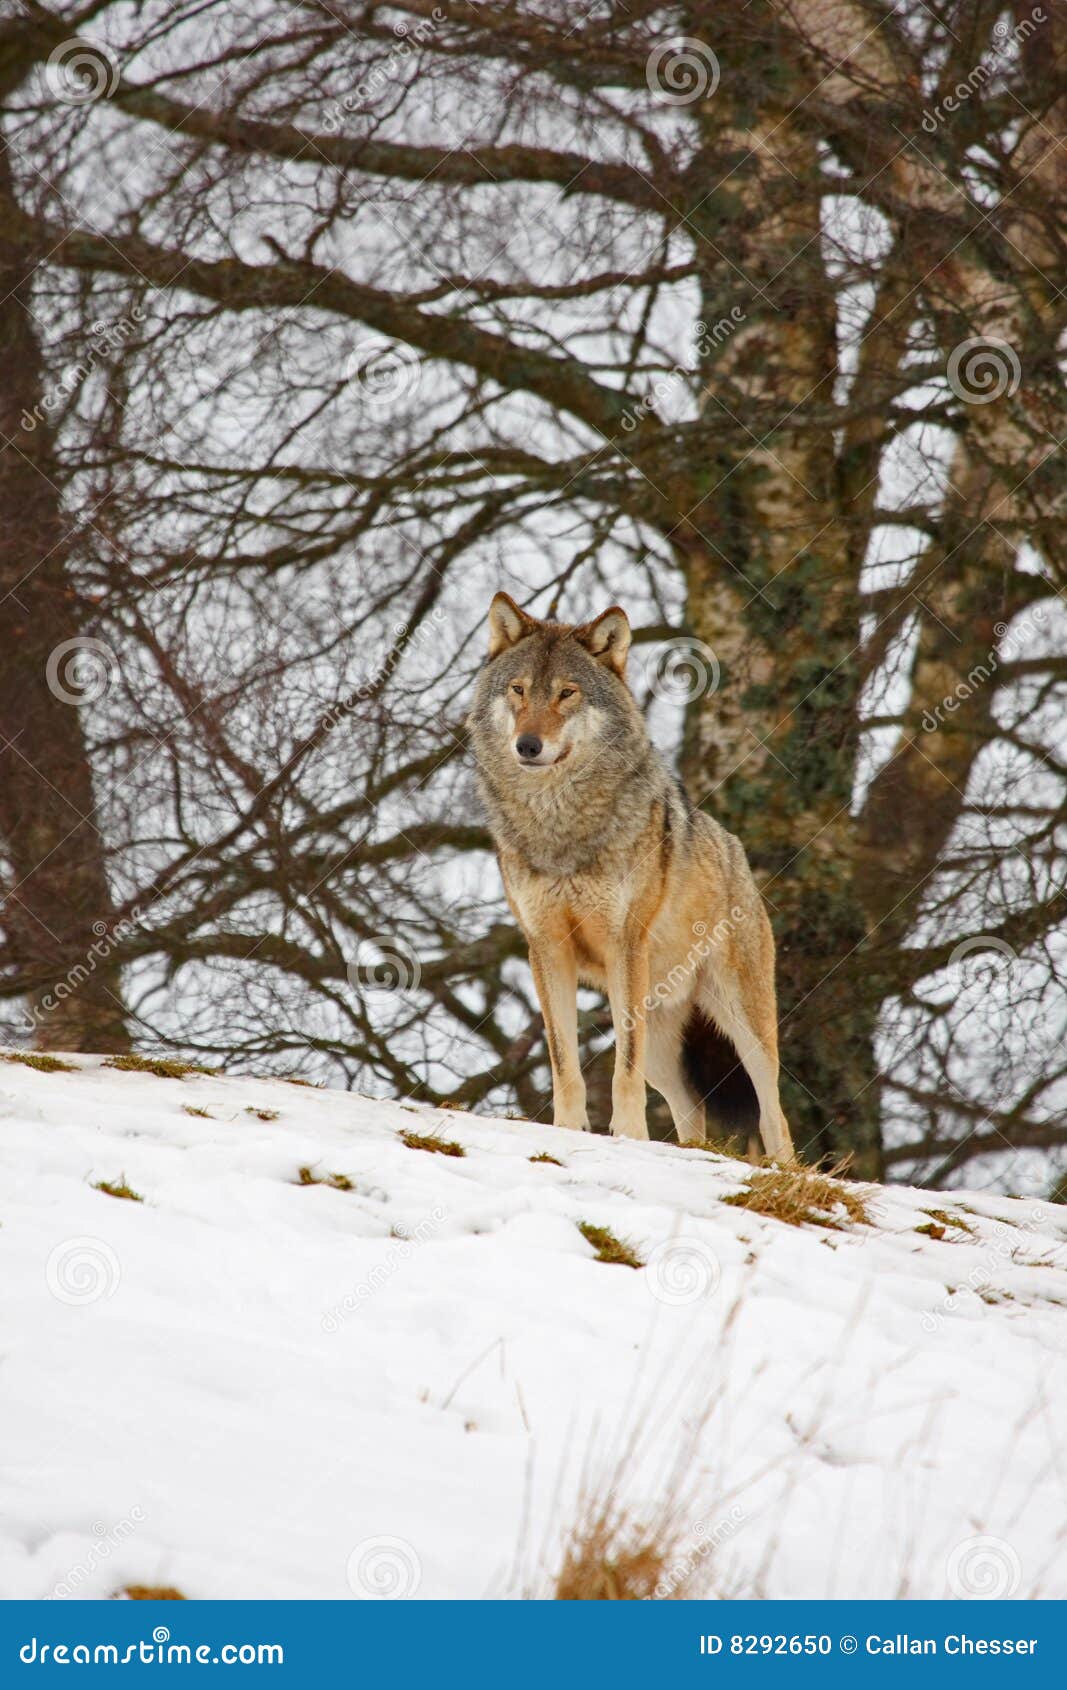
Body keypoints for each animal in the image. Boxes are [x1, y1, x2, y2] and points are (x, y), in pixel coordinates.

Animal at [467, 591, 794, 1159]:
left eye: (567, 694)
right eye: (519, 690)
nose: (528, 745)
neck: (559, 825)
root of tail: (739, 856)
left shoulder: (624, 943)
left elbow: (623, 1066)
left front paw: (627, 1135)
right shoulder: (545, 947)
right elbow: (563, 1059)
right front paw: (568, 1130)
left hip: (743, 1026)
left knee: (775, 1116)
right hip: (667, 1042)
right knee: (693, 1113)